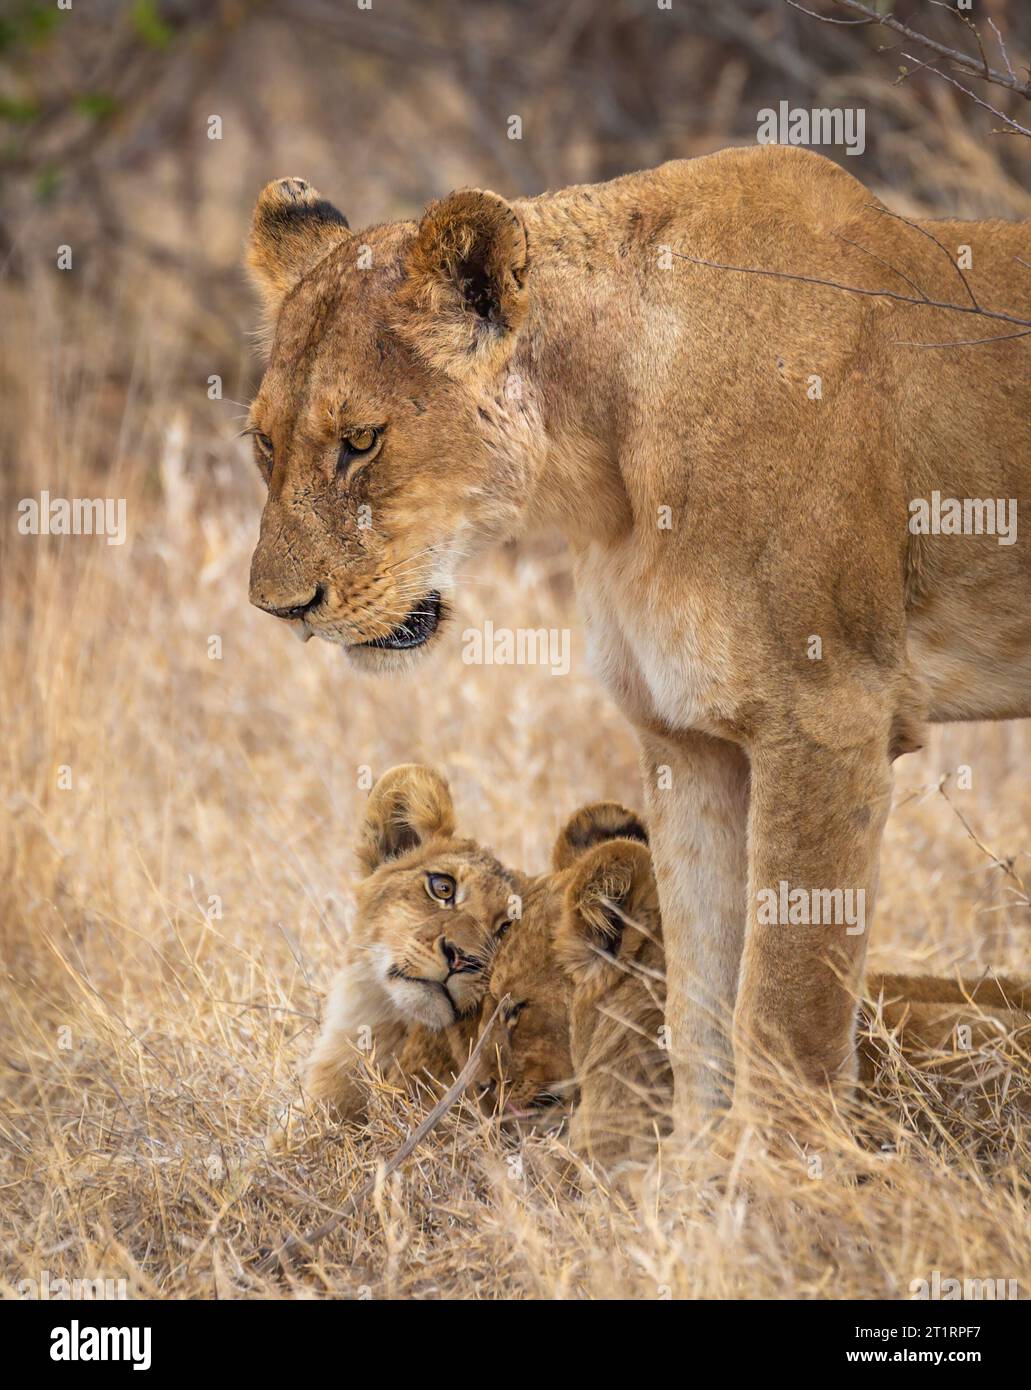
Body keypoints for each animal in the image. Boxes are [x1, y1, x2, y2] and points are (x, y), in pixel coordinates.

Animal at [244, 147, 1031, 1141]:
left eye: (360, 441)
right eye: (262, 444)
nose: (280, 608)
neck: (605, 466)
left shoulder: (830, 716)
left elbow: (784, 1010)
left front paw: (781, 1178)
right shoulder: (683, 735)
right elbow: (695, 1001)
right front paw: (693, 1170)